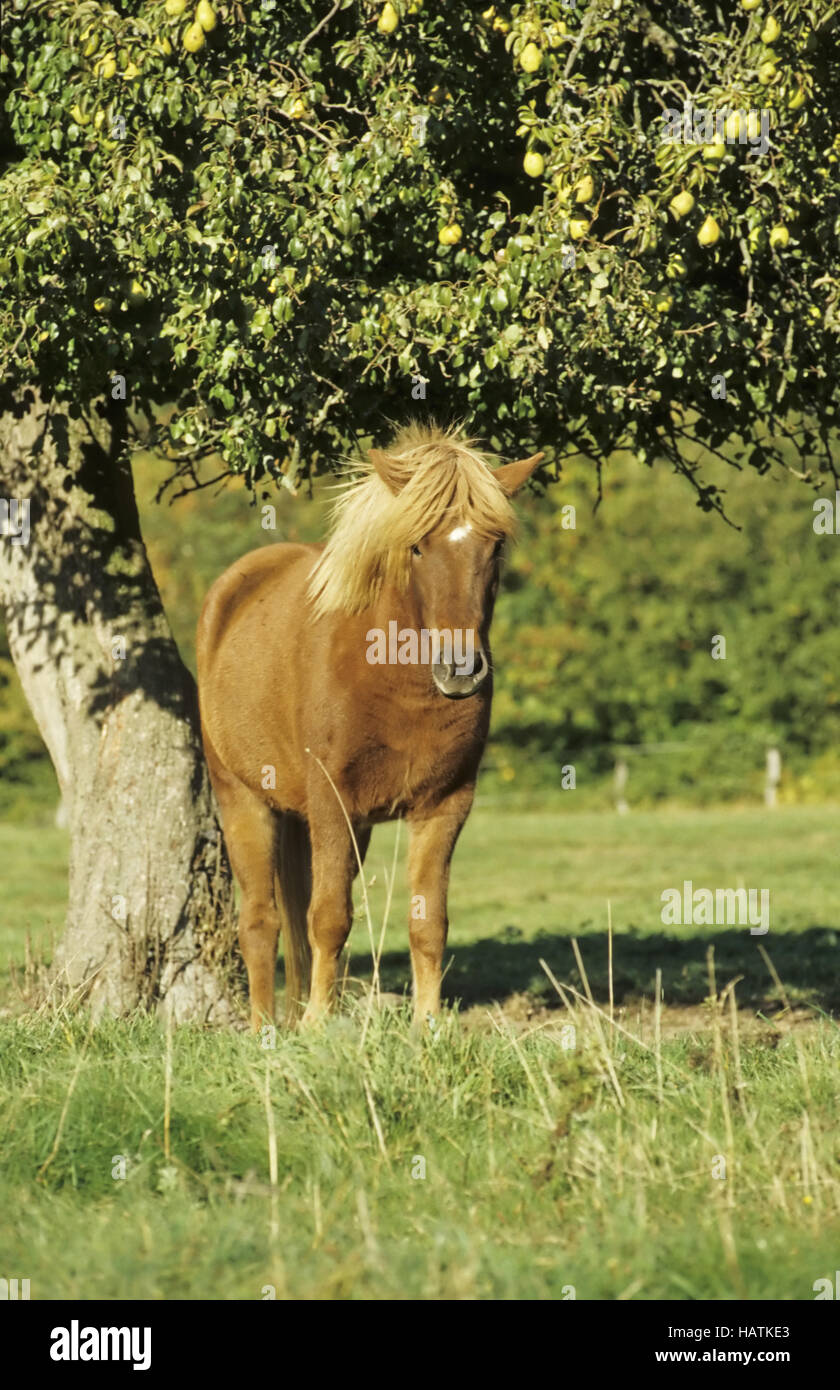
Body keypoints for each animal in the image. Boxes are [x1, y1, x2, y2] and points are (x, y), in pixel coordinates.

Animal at [196, 423, 543, 1030]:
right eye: (417, 545)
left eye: (495, 544)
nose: (460, 669)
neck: (394, 679)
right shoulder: (333, 801)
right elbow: (329, 917)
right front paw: (315, 1026)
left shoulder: (444, 805)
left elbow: (428, 922)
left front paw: (428, 1025)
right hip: (242, 797)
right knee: (260, 920)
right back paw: (265, 1028)